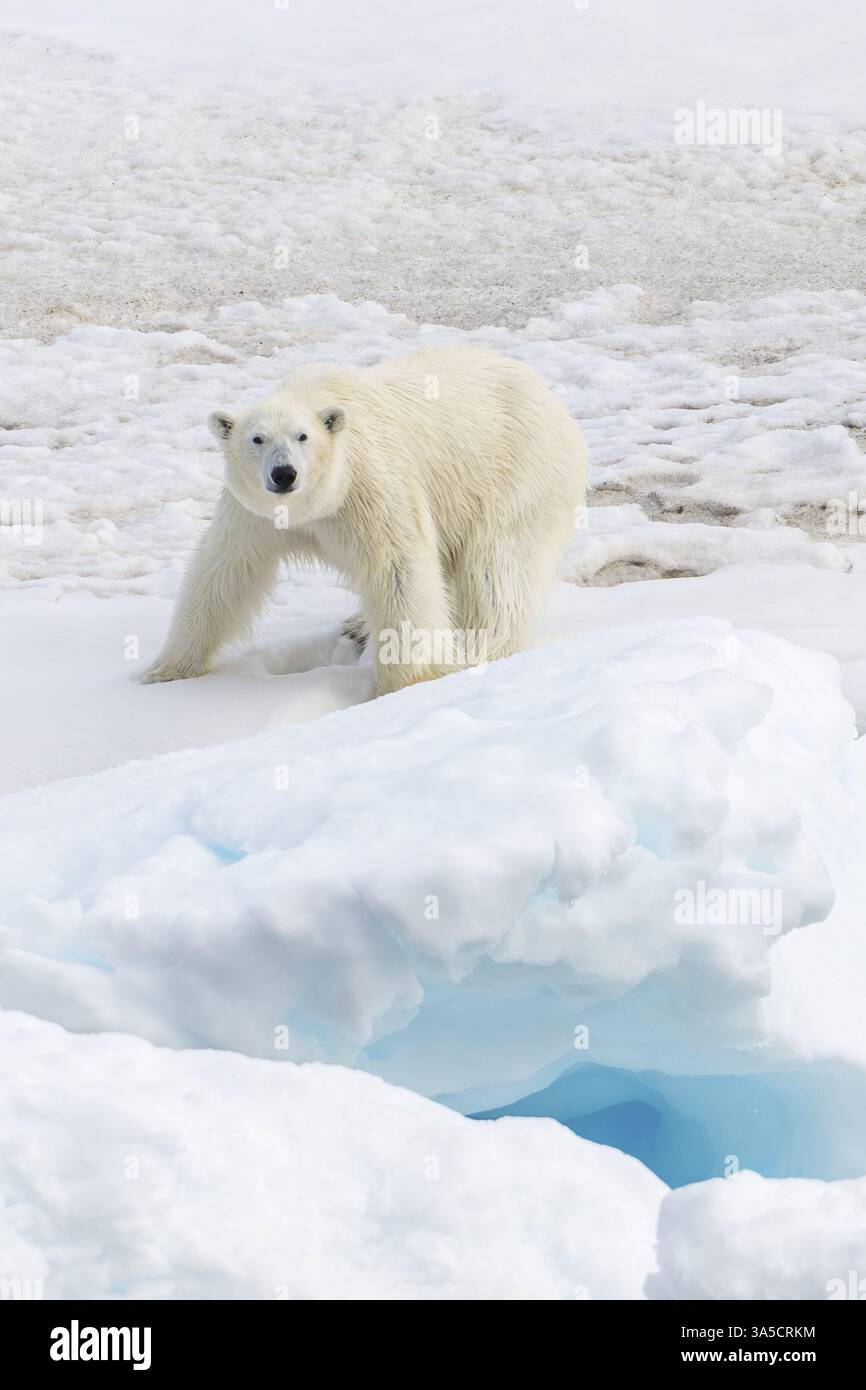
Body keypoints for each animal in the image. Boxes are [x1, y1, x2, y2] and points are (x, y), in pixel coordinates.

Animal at [141, 345, 587, 696]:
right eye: (257, 439)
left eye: (302, 436)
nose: (284, 474)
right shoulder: (254, 513)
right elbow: (224, 569)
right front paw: (165, 670)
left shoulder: (369, 487)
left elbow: (398, 570)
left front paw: (410, 682)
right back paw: (358, 625)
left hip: (513, 473)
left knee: (497, 568)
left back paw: (481, 648)